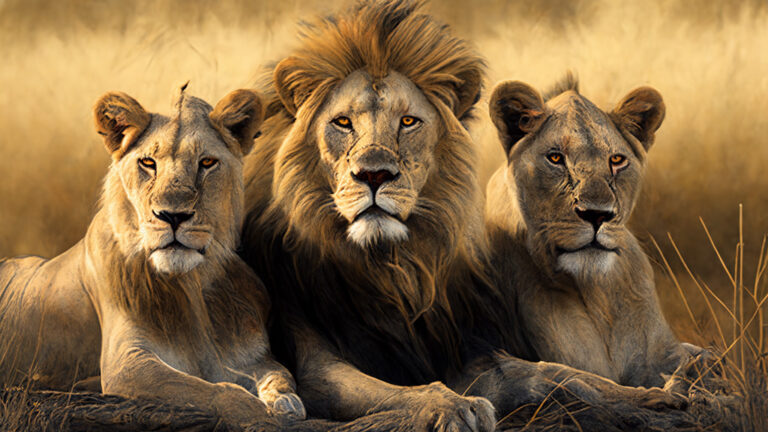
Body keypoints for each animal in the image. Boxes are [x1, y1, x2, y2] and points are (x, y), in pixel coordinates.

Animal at [0, 85, 305, 428]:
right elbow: (211, 391)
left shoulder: (254, 356)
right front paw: (261, 413)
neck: (192, 286)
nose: (173, 216)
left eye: (207, 162)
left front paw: (284, 402)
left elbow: (281, 375)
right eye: (147, 162)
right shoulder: (127, 364)